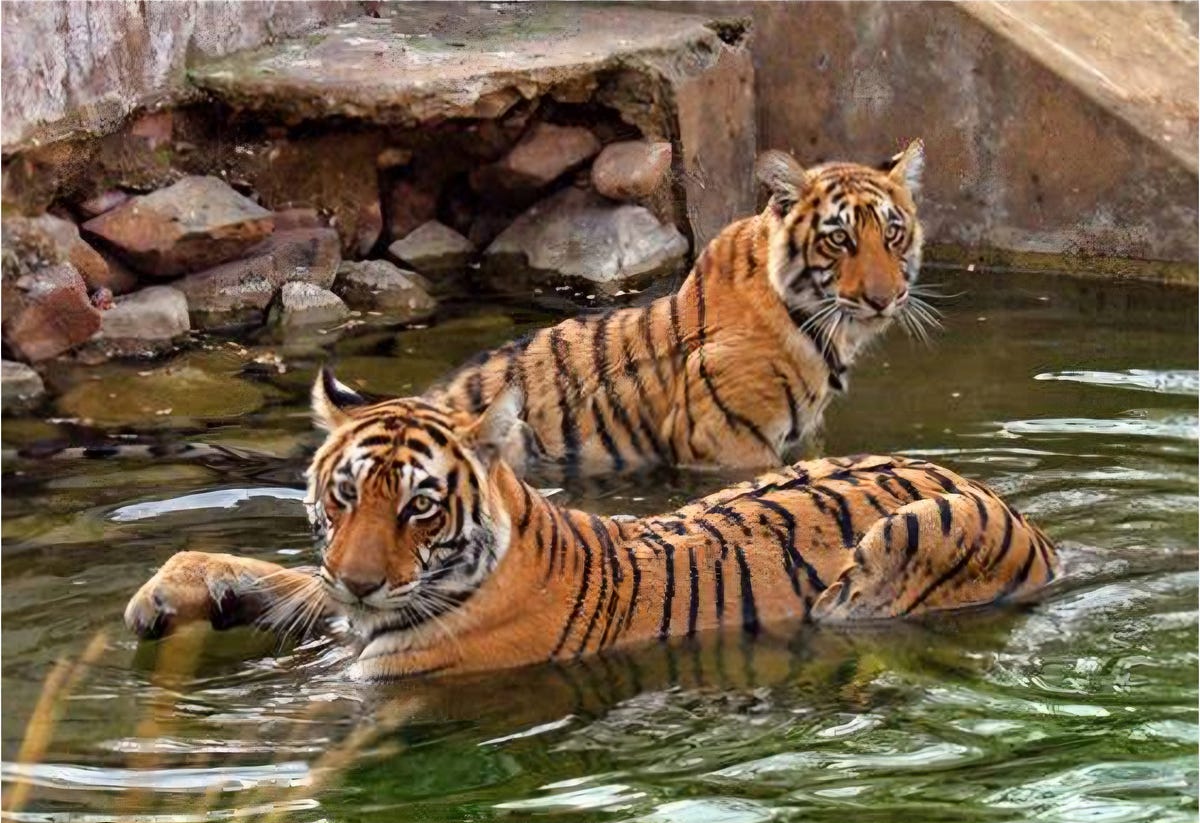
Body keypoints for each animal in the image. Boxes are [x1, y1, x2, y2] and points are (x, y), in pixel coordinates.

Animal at [124, 374, 1060, 681]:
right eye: (346, 494)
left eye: (419, 504)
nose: (360, 581)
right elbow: (288, 578)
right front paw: (172, 590)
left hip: (909, 534)